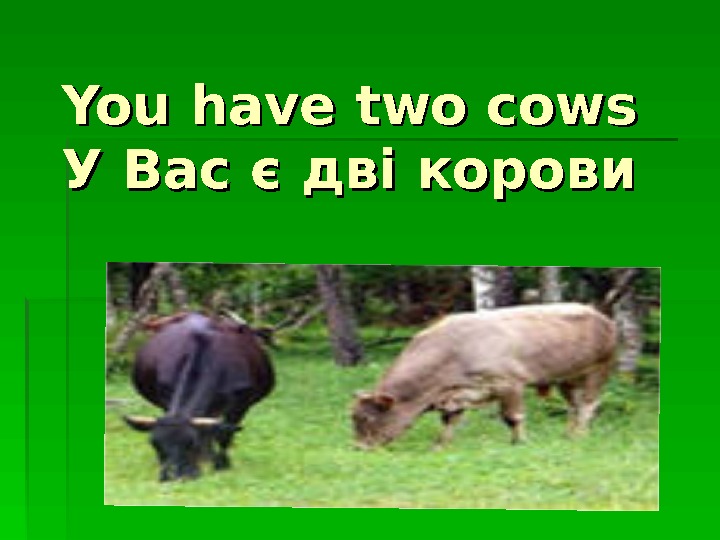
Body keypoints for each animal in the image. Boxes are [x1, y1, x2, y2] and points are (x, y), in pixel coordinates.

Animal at [123, 312, 275, 481]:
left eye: (190, 443)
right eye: (154, 444)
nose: (172, 476)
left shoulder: (240, 405)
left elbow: (224, 434)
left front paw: (221, 464)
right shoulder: (166, 399)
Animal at [352, 303, 617, 449]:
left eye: (366, 418)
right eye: (354, 417)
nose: (358, 448)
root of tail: (601, 316)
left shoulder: (510, 384)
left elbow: (513, 417)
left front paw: (519, 442)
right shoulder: (457, 393)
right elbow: (449, 420)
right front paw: (439, 446)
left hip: (598, 370)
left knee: (588, 405)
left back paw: (580, 435)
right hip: (566, 379)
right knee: (574, 406)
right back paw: (569, 434)